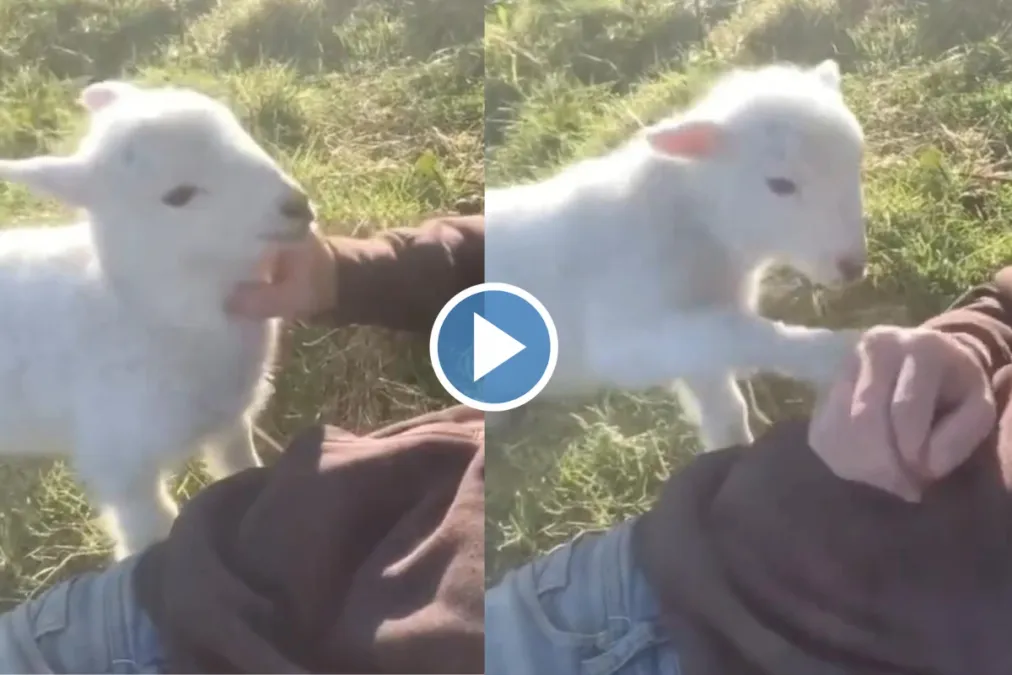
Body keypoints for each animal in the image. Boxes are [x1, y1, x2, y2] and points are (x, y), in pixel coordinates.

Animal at [0, 80, 314, 560]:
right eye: (177, 196)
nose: (297, 207)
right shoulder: (124, 469)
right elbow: (152, 534)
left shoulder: (229, 422)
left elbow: (240, 467)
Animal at [485, 59, 868, 451]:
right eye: (780, 184)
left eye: (856, 159)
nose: (853, 267)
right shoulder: (625, 333)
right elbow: (728, 333)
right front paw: (832, 355)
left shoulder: (691, 346)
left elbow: (724, 400)